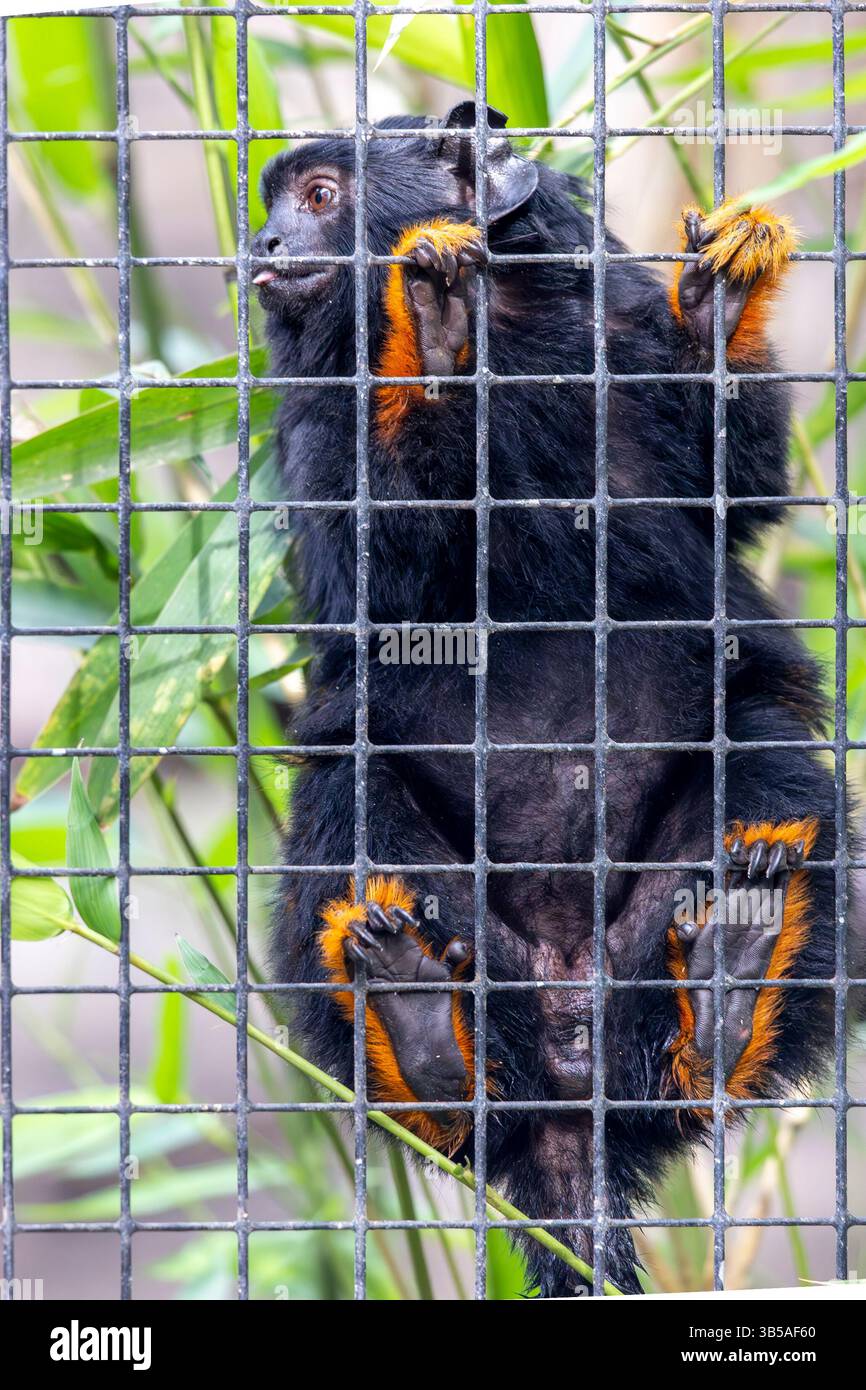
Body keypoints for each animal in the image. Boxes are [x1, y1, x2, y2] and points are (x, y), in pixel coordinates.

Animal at [256, 102, 860, 1298]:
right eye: (278, 203)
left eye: (316, 199)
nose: (263, 245)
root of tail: (575, 1092)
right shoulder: (313, 414)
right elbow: (377, 572)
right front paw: (433, 342)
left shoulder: (610, 324)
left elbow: (738, 490)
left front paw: (717, 313)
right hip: (474, 955)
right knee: (352, 797)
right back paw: (431, 1048)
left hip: (646, 947)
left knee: (764, 755)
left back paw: (723, 994)